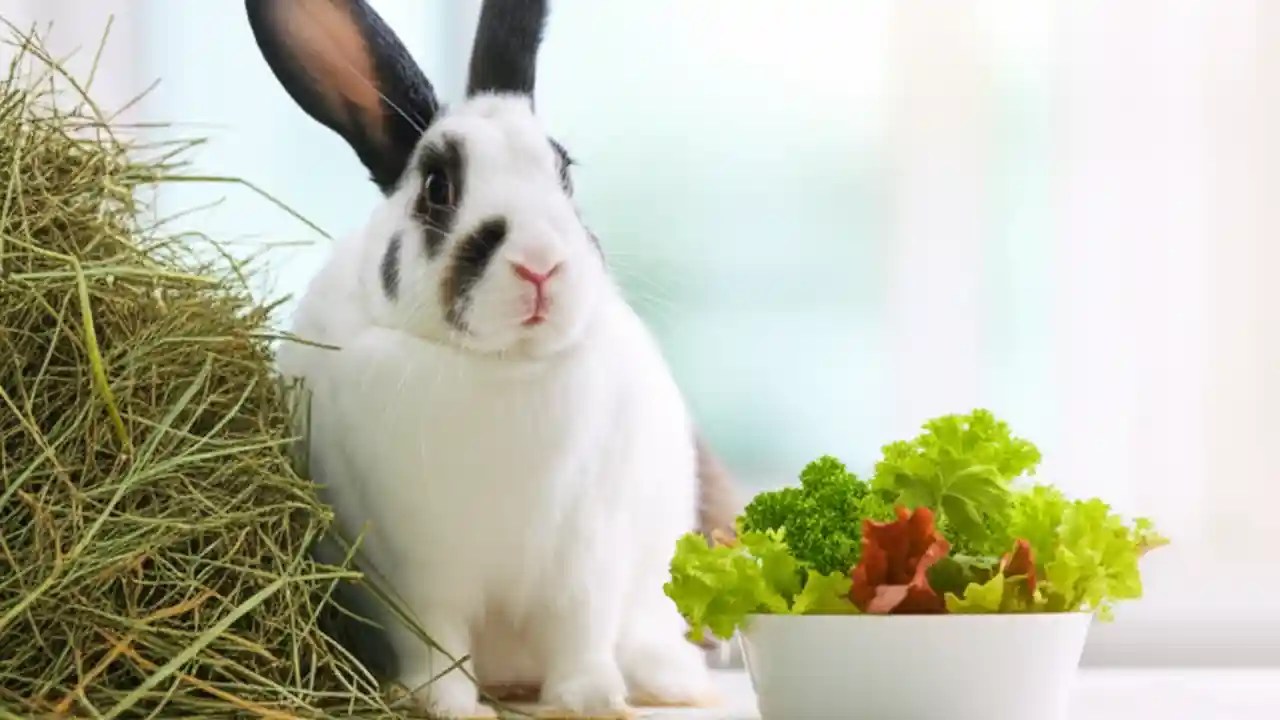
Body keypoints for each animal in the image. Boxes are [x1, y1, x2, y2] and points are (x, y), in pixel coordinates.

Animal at [244, 0, 740, 717]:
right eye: (437, 187)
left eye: (564, 174)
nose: (541, 265)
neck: (504, 368)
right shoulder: (412, 567)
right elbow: (437, 640)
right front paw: (447, 705)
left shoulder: (588, 553)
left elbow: (580, 631)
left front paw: (589, 700)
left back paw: (673, 682)